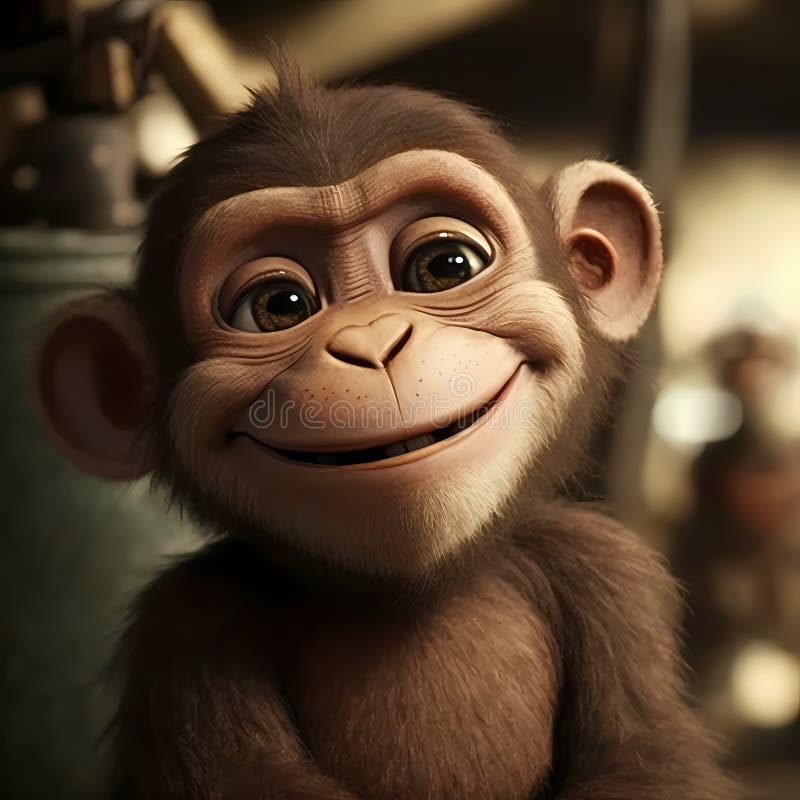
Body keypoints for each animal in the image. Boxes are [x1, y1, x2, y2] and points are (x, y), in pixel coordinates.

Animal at [33, 55, 737, 800]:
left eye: (445, 265)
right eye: (277, 305)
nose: (371, 342)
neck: (409, 598)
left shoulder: (607, 573)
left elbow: (642, 758)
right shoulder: (188, 622)